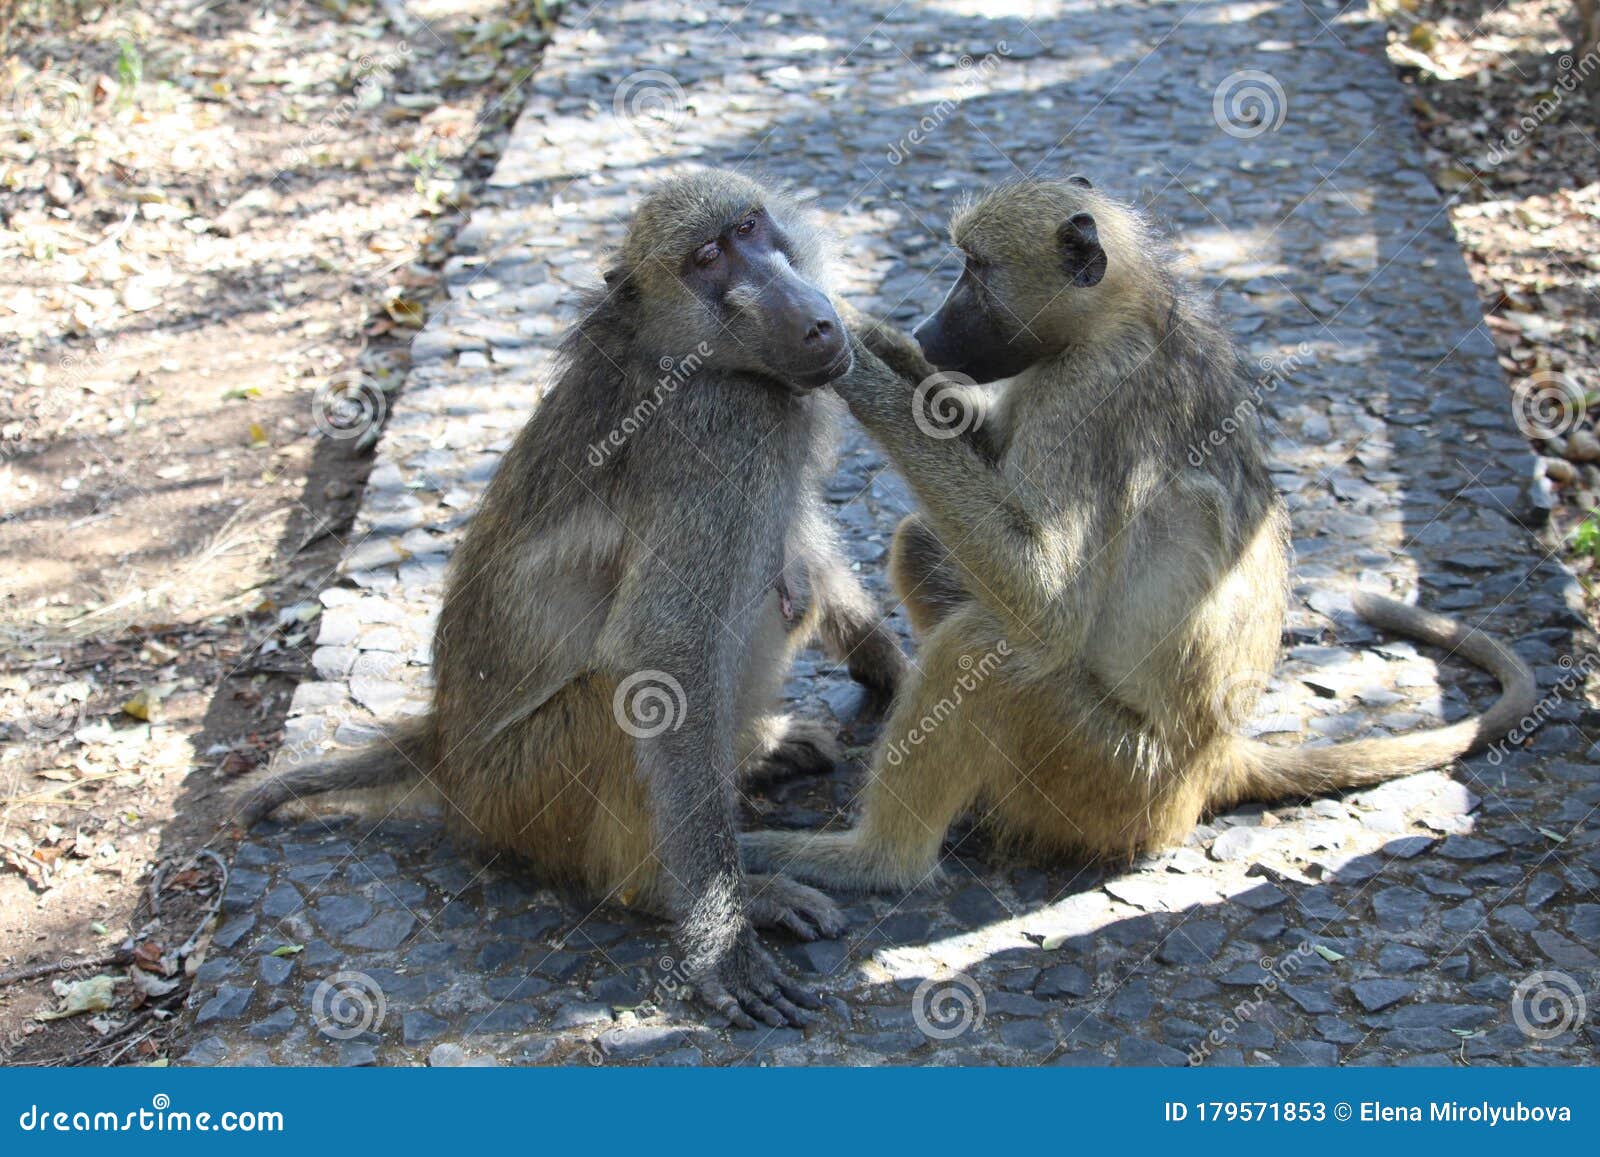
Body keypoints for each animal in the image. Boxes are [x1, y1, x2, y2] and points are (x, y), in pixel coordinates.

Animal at [238, 169, 908, 1026]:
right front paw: (721, 940)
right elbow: (664, 653)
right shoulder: (723, 430)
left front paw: (888, 663)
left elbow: (807, 557)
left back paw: (757, 748)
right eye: (707, 259)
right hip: (519, 788)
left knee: (779, 582)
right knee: (640, 681)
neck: (674, 351)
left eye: (751, 229)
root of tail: (445, 742)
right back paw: (670, 886)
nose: (815, 317)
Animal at [741, 174, 1539, 893]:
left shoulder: (1086, 397)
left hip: (1114, 777)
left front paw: (858, 360)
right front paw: (881, 340)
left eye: (976, 269)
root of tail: (1215, 761)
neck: (1121, 316)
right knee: (923, 544)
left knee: (988, 651)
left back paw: (875, 862)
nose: (933, 329)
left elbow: (1046, 600)